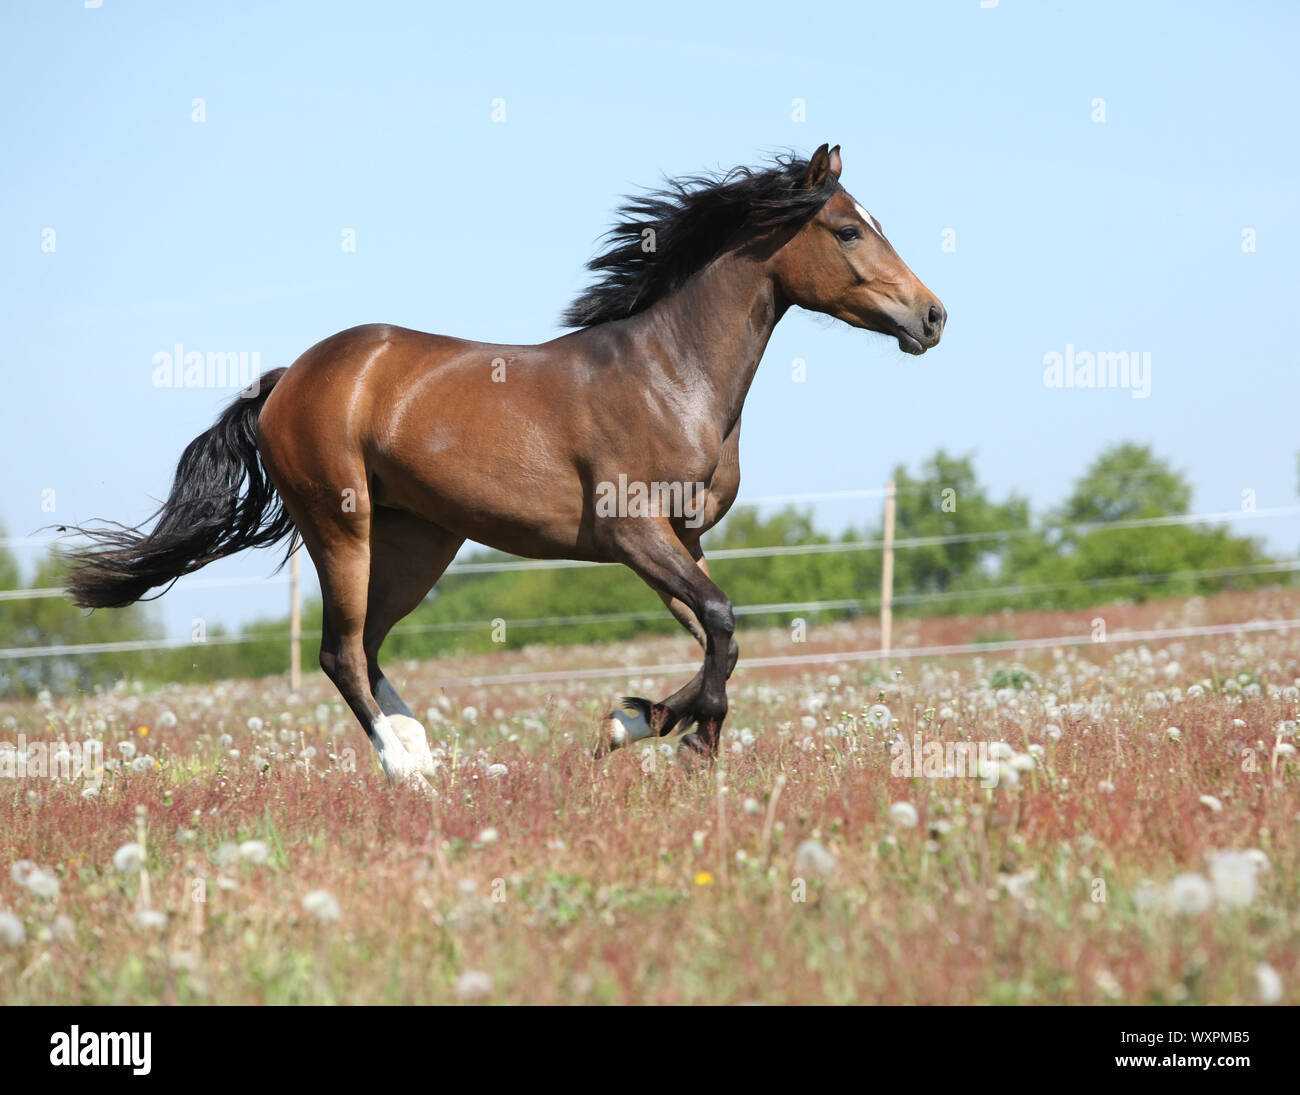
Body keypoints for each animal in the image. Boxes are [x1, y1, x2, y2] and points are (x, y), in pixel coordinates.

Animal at [64, 143, 945, 791]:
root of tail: (288, 378)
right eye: (849, 231)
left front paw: (640, 722)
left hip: (417, 541)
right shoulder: (632, 533)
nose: (932, 316)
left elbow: (717, 633)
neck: (672, 372)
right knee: (340, 653)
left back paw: (424, 749)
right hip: (341, 525)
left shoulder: (681, 540)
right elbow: (723, 623)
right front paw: (679, 739)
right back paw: (407, 768)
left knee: (368, 646)